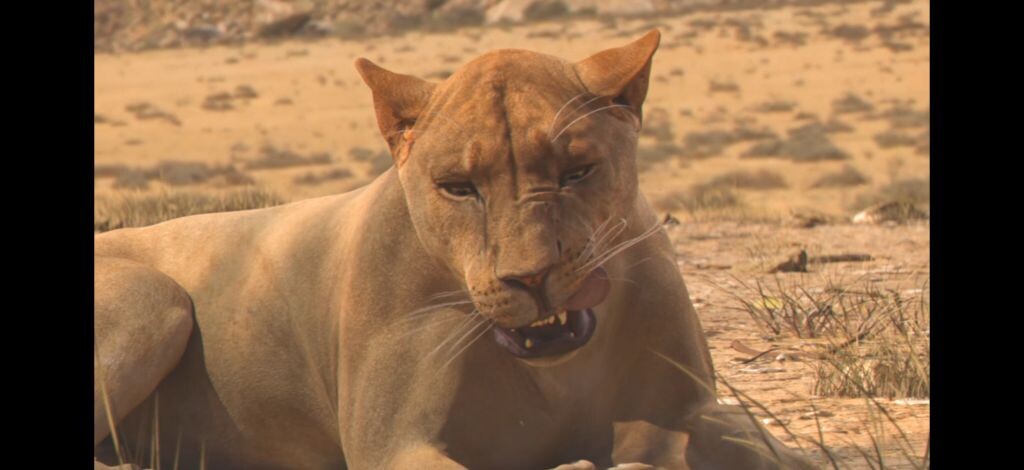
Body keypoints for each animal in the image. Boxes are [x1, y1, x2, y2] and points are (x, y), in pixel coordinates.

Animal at [94, 30, 817, 469]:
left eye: (577, 171)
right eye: (459, 187)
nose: (533, 277)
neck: (556, 370)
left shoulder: (685, 410)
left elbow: (758, 442)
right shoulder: (394, 442)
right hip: (155, 299)